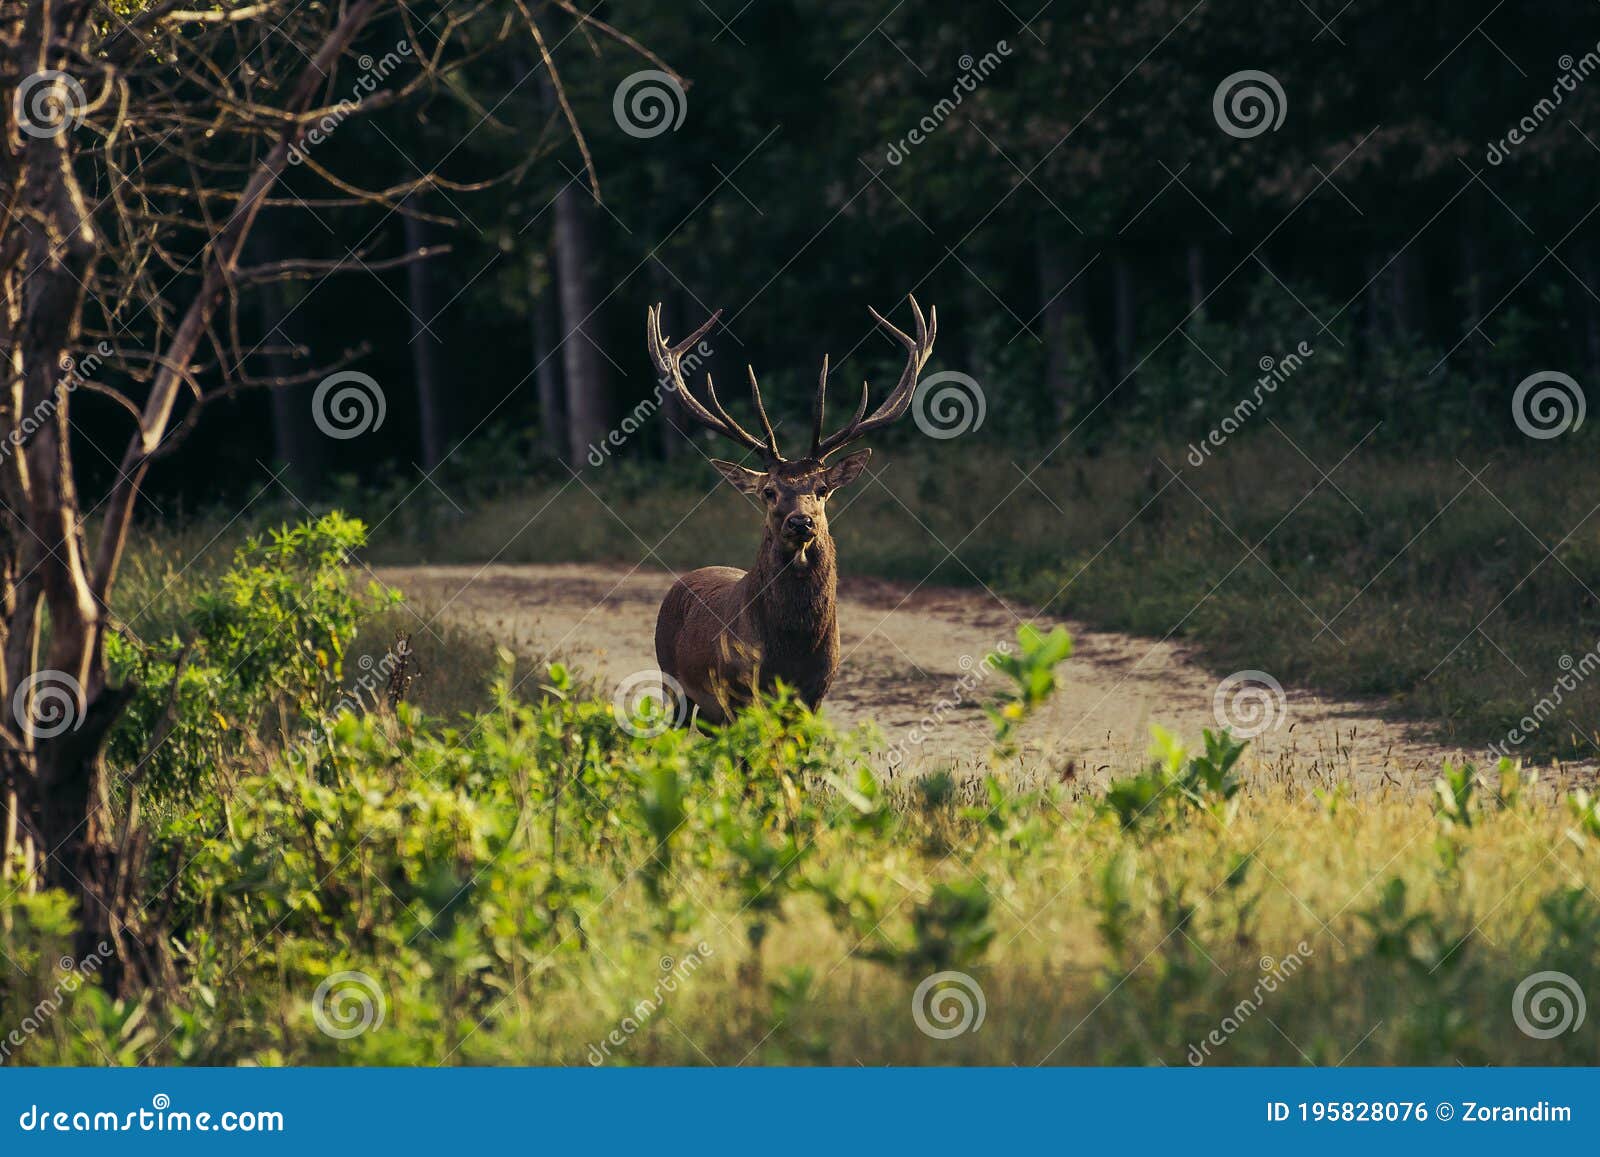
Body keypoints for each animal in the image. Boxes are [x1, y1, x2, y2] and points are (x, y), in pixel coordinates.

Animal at [646, 296, 936, 726]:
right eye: (768, 491)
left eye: (822, 489)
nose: (801, 521)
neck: (791, 653)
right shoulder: (739, 692)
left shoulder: (817, 691)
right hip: (672, 681)